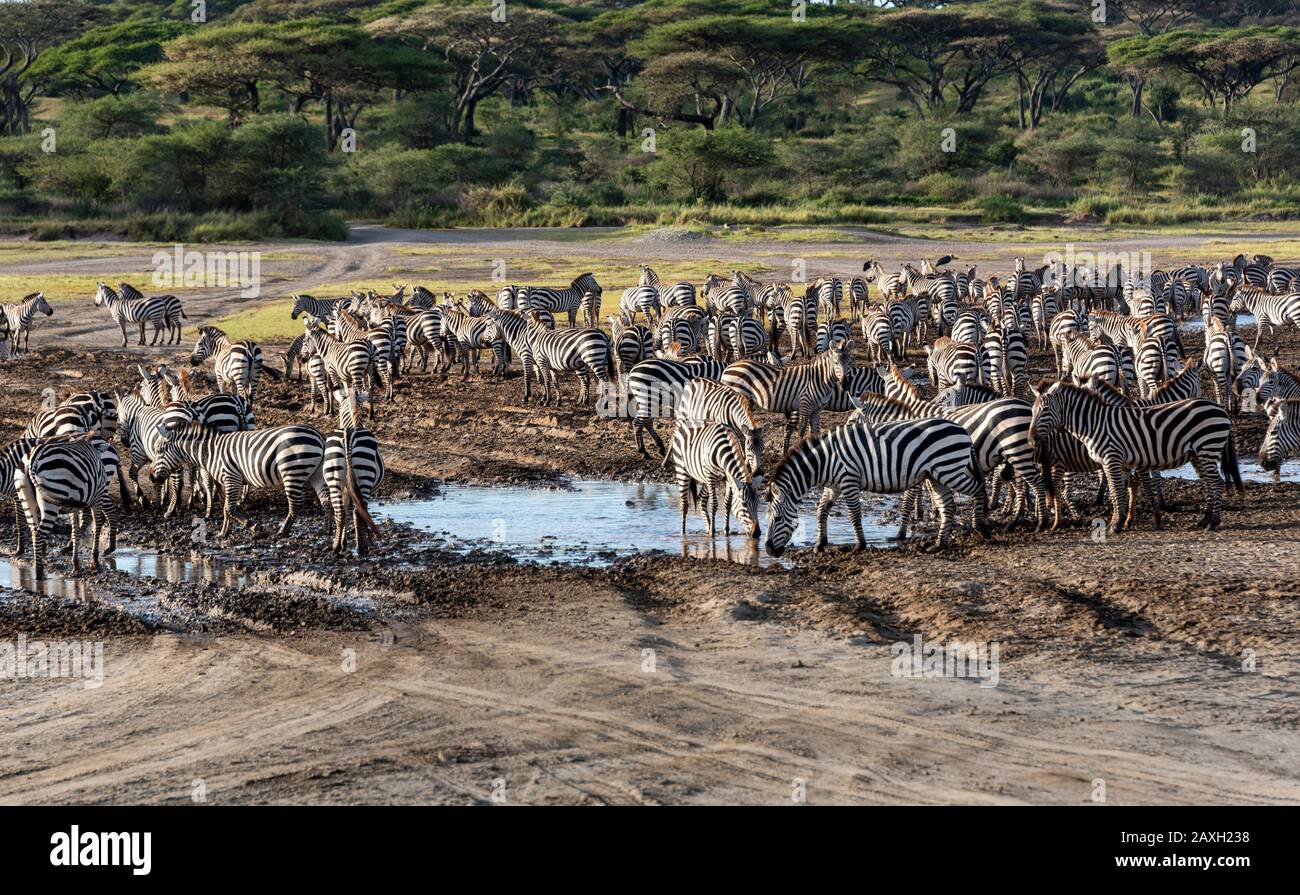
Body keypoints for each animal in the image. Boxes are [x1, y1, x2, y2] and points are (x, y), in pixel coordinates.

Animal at [11, 435, 119, 580]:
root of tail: (32, 460)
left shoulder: (73, 507)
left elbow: (75, 531)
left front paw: (76, 564)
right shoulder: (98, 497)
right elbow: (97, 525)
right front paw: (95, 561)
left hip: (26, 499)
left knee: (34, 532)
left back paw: (37, 565)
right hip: (52, 500)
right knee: (39, 534)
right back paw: (39, 573)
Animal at [150, 425, 329, 538]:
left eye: (159, 451)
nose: (152, 477)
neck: (211, 452)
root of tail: (319, 435)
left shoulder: (231, 477)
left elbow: (229, 509)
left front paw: (256, 528)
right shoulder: (226, 480)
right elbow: (225, 508)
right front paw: (223, 533)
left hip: (292, 470)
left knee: (296, 504)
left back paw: (283, 531)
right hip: (316, 474)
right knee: (326, 500)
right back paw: (329, 532)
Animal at [721, 340, 850, 452]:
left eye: (849, 363)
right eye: (836, 363)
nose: (845, 384)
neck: (819, 378)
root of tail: (728, 367)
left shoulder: (817, 410)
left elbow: (815, 431)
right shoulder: (805, 405)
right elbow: (801, 430)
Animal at [763, 416, 987, 555]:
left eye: (777, 518)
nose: (768, 550)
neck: (825, 460)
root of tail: (962, 430)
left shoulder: (849, 479)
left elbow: (854, 514)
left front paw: (860, 545)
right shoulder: (834, 486)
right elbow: (821, 510)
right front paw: (820, 544)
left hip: (950, 470)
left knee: (978, 488)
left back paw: (980, 528)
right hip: (937, 475)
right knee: (948, 506)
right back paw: (940, 544)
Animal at [1029, 382, 1239, 534]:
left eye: (1045, 410)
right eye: (1032, 411)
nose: (1030, 440)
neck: (1094, 424)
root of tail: (1220, 408)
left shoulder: (1111, 458)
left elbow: (1116, 491)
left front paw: (1115, 525)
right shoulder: (1117, 463)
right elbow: (1119, 492)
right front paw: (1119, 521)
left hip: (1208, 448)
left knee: (1217, 482)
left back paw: (1214, 523)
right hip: (1198, 454)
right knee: (1209, 483)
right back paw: (1204, 520)